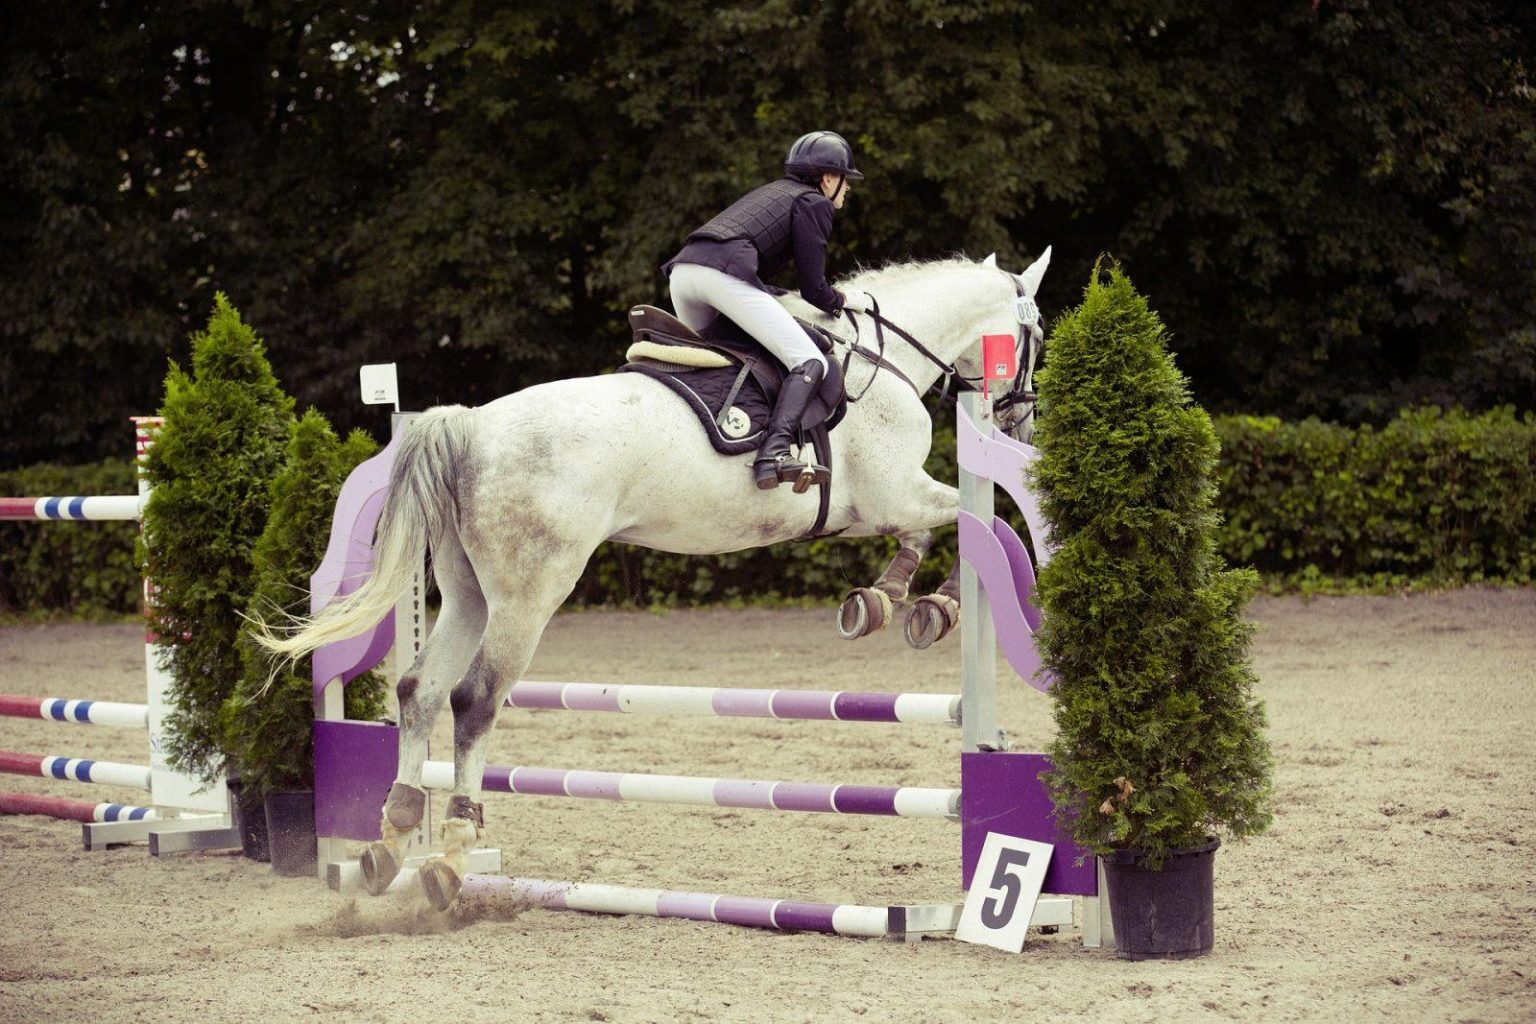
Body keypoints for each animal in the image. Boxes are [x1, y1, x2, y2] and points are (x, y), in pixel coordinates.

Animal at [258, 248, 1053, 909]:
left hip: (468, 594)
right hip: (529, 593)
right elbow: (979, 525)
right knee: (475, 698)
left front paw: (880, 602)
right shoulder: (891, 495)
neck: (878, 360)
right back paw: (451, 856)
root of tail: (469, 426)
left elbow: (945, 530)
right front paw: (925, 607)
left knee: (419, 690)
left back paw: (389, 847)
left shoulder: (867, 508)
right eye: (1038, 335)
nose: (1023, 423)